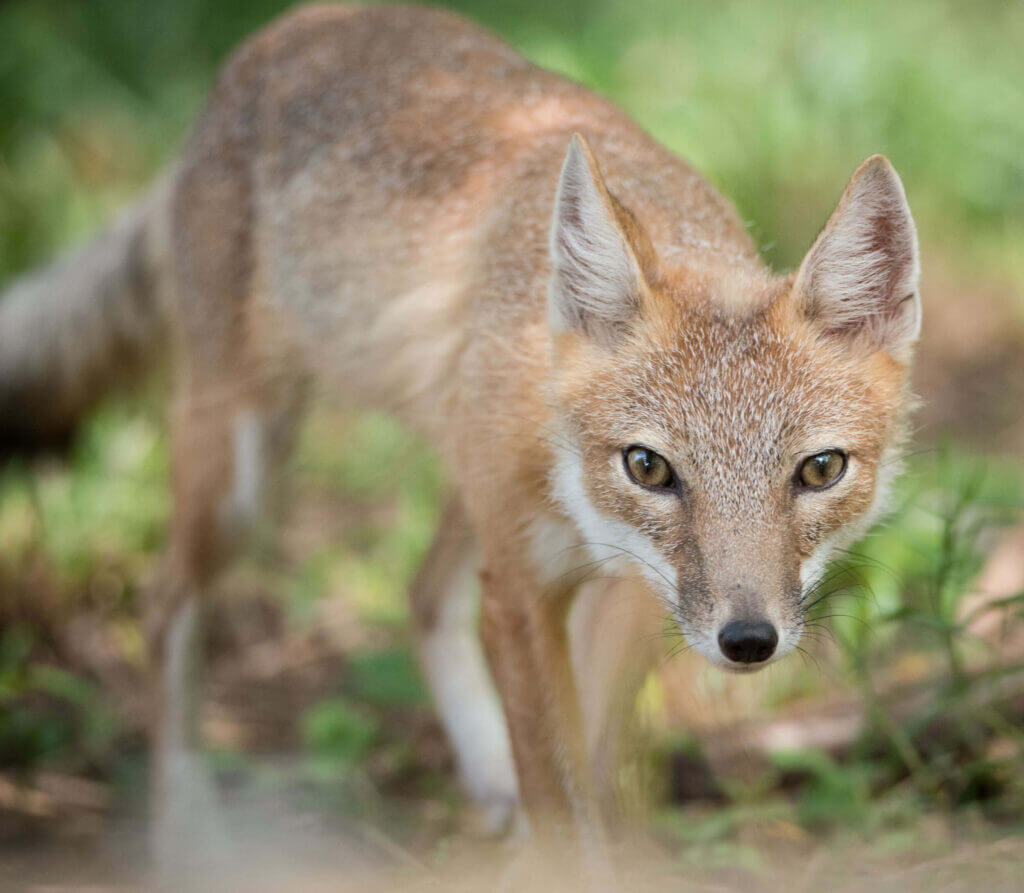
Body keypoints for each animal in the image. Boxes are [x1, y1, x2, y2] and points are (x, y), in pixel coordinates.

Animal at [0, 1, 921, 878]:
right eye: (650, 467)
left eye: (819, 469)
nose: (748, 640)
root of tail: (281, 35)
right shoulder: (521, 591)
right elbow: (565, 802)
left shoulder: (628, 594)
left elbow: (588, 766)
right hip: (242, 471)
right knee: (164, 605)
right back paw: (188, 832)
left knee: (418, 593)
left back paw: (487, 783)